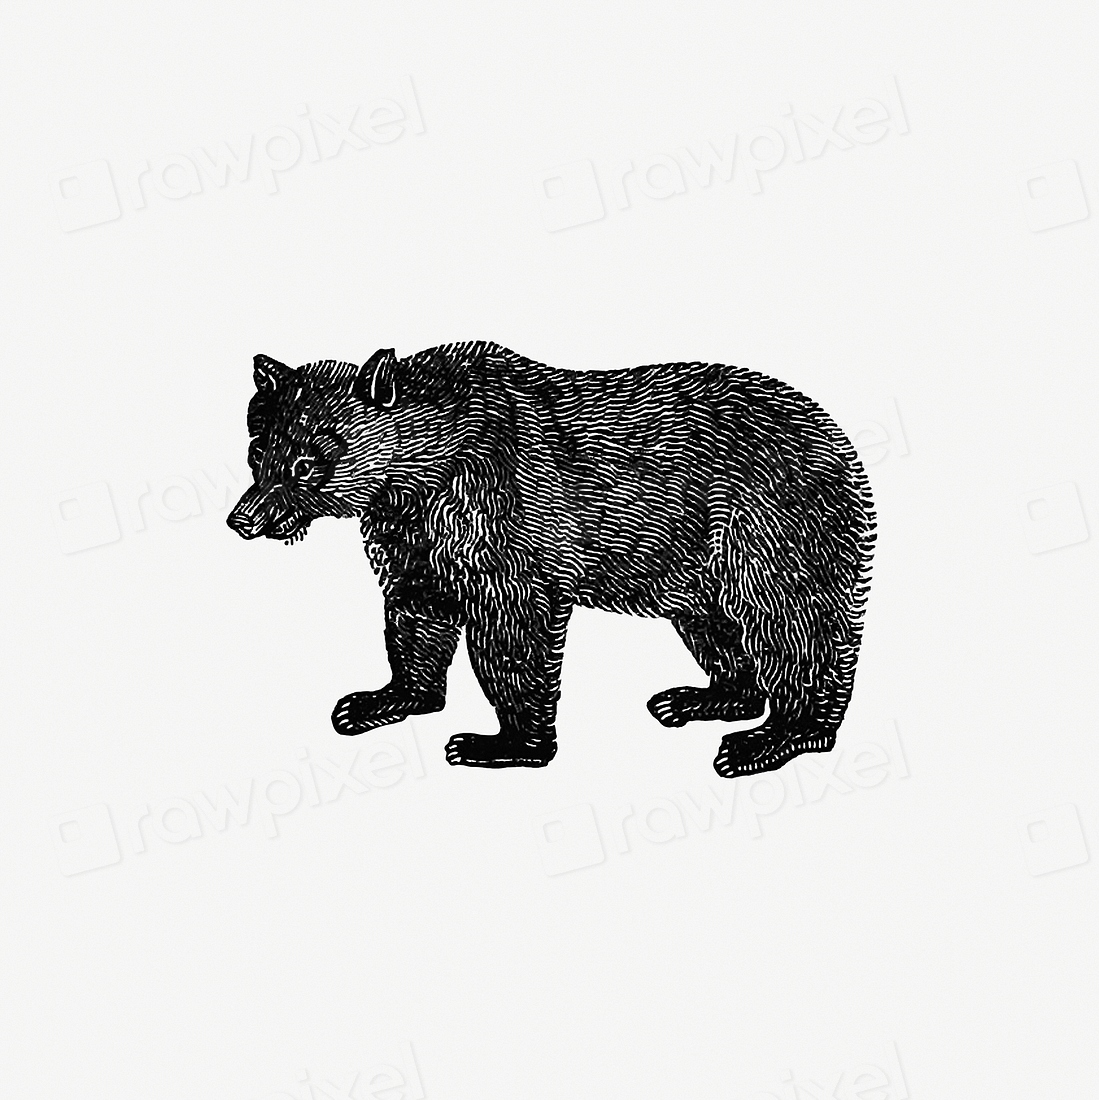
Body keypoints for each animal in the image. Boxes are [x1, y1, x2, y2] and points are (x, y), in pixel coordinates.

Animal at [227, 341, 875, 777]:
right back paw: (701, 697)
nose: (244, 519)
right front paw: (381, 698)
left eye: (307, 463)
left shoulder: (495, 507)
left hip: (763, 521)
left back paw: (770, 738)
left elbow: (513, 626)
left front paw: (500, 743)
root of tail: (840, 442)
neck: (425, 472)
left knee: (789, 624)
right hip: (692, 563)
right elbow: (415, 612)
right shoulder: (411, 534)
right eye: (258, 450)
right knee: (716, 625)